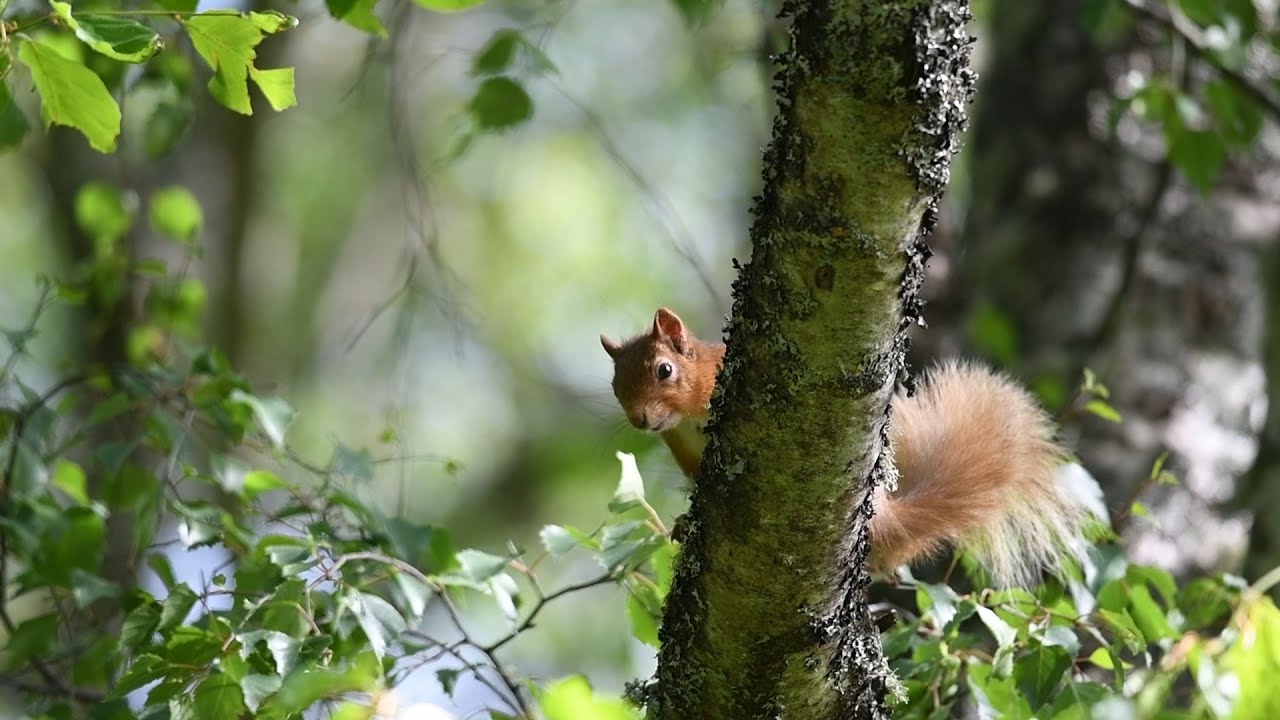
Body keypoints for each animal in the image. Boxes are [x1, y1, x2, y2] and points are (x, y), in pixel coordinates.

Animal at [601, 307, 1091, 587]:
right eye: (614, 385)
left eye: (664, 370)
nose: (640, 419)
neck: (688, 417)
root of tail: (888, 516)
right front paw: (686, 521)